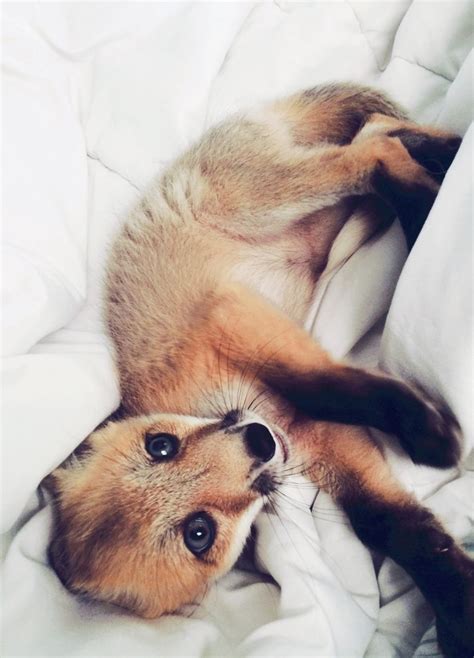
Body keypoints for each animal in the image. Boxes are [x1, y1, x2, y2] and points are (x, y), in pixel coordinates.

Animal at [44, 84, 473, 657]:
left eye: (161, 446)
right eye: (199, 533)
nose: (258, 442)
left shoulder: (235, 316)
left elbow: (323, 385)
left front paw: (429, 436)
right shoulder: (320, 445)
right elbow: (389, 525)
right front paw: (457, 607)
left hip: (274, 197)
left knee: (371, 152)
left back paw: (428, 196)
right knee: (376, 133)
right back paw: (435, 174)